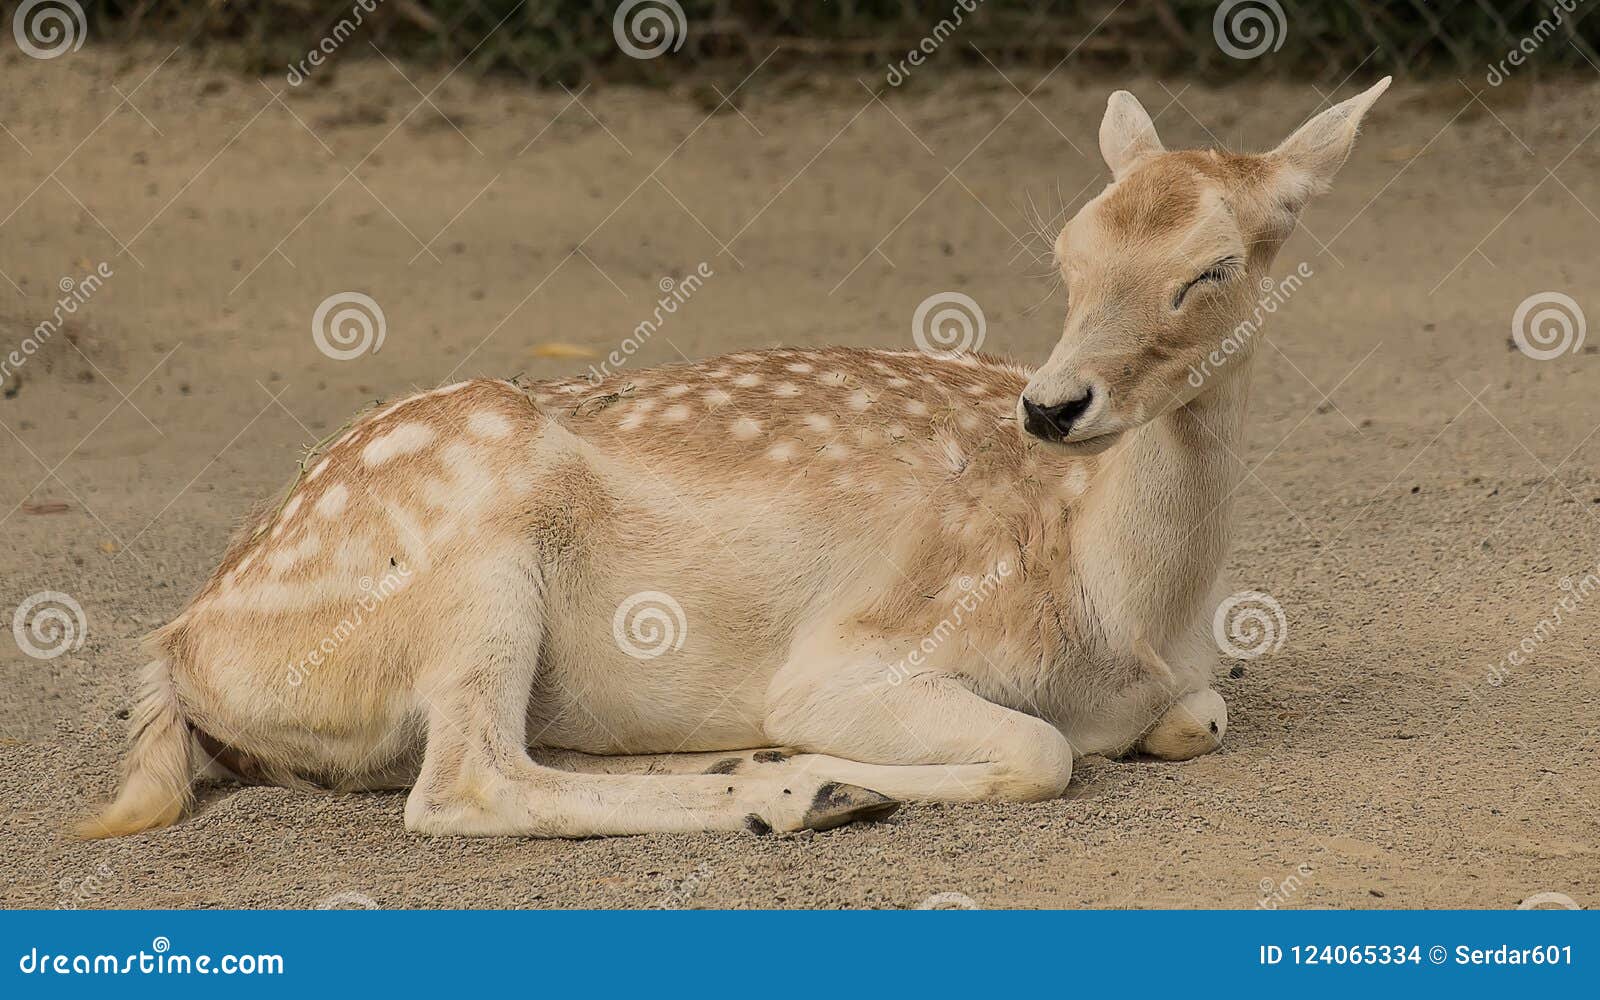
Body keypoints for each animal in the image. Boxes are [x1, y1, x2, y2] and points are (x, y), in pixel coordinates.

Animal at [79, 79, 1390, 839]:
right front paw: (829, 772)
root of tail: (177, 651)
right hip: (469, 577)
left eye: (1211, 267)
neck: (1126, 615)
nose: (1052, 405)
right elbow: (1041, 748)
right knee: (464, 782)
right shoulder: (858, 654)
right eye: (1068, 249)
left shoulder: (1189, 680)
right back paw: (793, 791)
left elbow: (1200, 716)